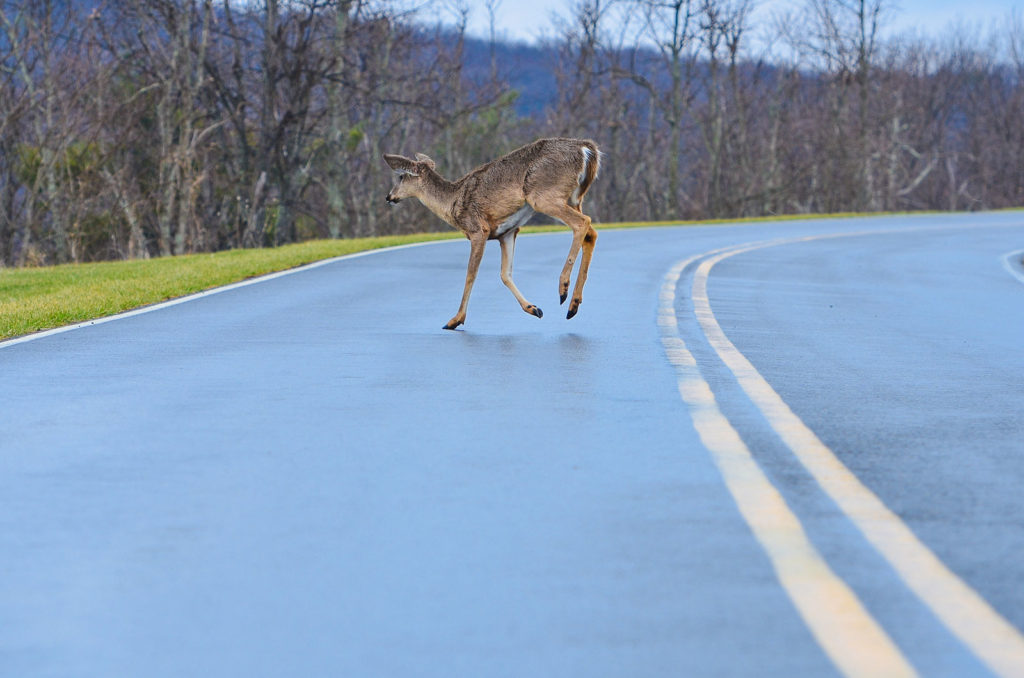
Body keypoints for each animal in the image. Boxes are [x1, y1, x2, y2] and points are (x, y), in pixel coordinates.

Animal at [383, 137, 601, 330]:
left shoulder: (478, 229)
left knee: (583, 222)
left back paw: (563, 288)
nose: (389, 197)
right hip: (574, 198)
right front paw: (533, 308)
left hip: (543, 195)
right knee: (591, 233)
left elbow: (471, 274)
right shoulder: (507, 232)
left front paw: (455, 320)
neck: (452, 203)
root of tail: (586, 150)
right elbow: (505, 274)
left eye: (401, 176)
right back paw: (573, 305)